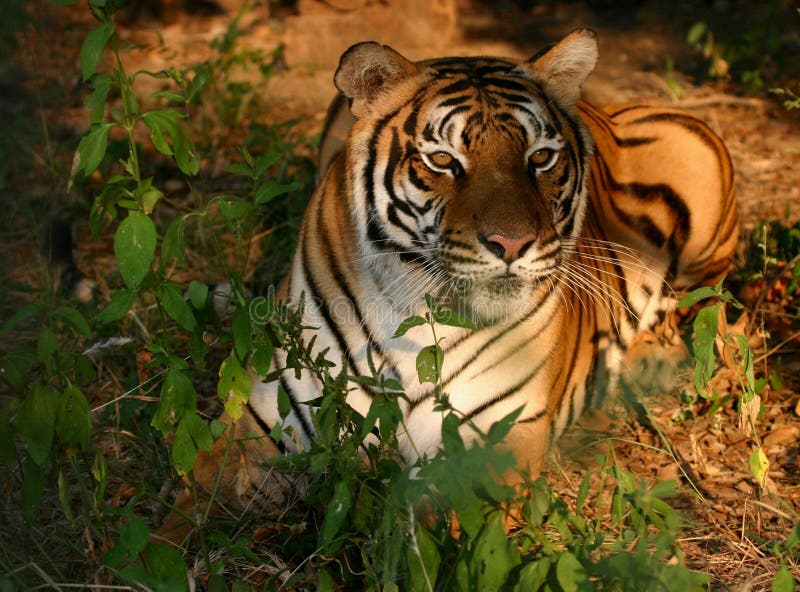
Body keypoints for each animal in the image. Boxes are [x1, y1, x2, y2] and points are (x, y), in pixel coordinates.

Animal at [162, 28, 739, 529]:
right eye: (442, 159)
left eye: (541, 157)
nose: (512, 244)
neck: (409, 314)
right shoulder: (260, 431)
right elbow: (173, 531)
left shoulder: (492, 443)